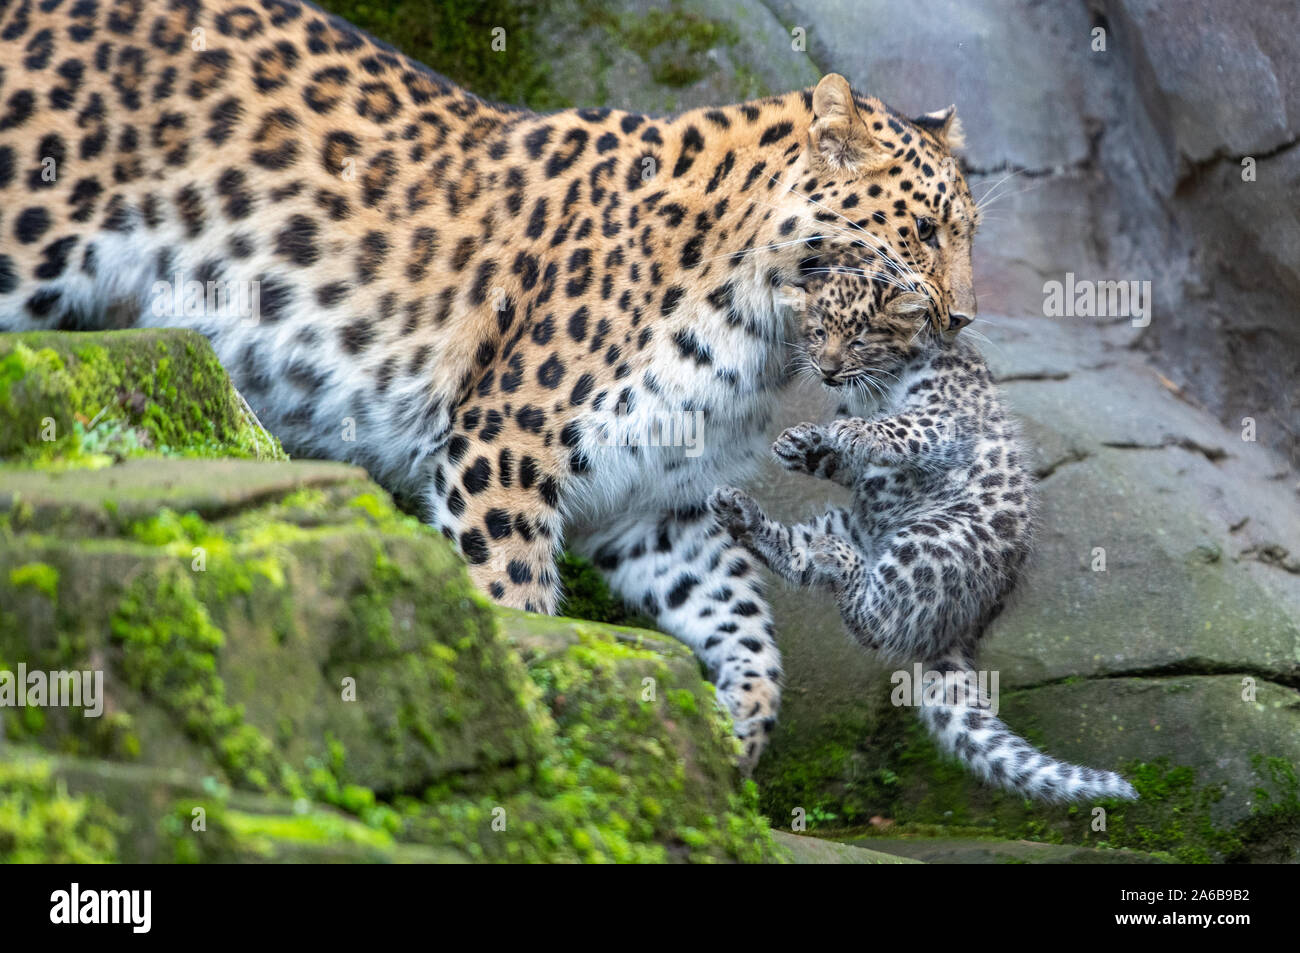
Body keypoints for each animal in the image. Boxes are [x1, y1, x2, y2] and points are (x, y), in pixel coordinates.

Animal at [0, 0, 979, 770]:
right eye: (925, 231)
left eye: (966, 231)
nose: (963, 319)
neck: (761, 323)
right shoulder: (504, 448)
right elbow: (514, 597)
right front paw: (531, 710)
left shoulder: (654, 501)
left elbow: (741, 616)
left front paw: (735, 728)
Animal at [710, 254, 1138, 800]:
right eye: (818, 332)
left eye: (859, 340)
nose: (827, 370)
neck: (885, 380)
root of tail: (970, 626)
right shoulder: (861, 466)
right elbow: (846, 460)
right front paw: (801, 442)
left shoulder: (945, 418)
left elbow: (900, 428)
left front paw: (847, 431)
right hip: (850, 522)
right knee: (805, 560)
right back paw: (740, 511)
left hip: (930, 540)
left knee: (875, 621)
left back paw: (837, 558)